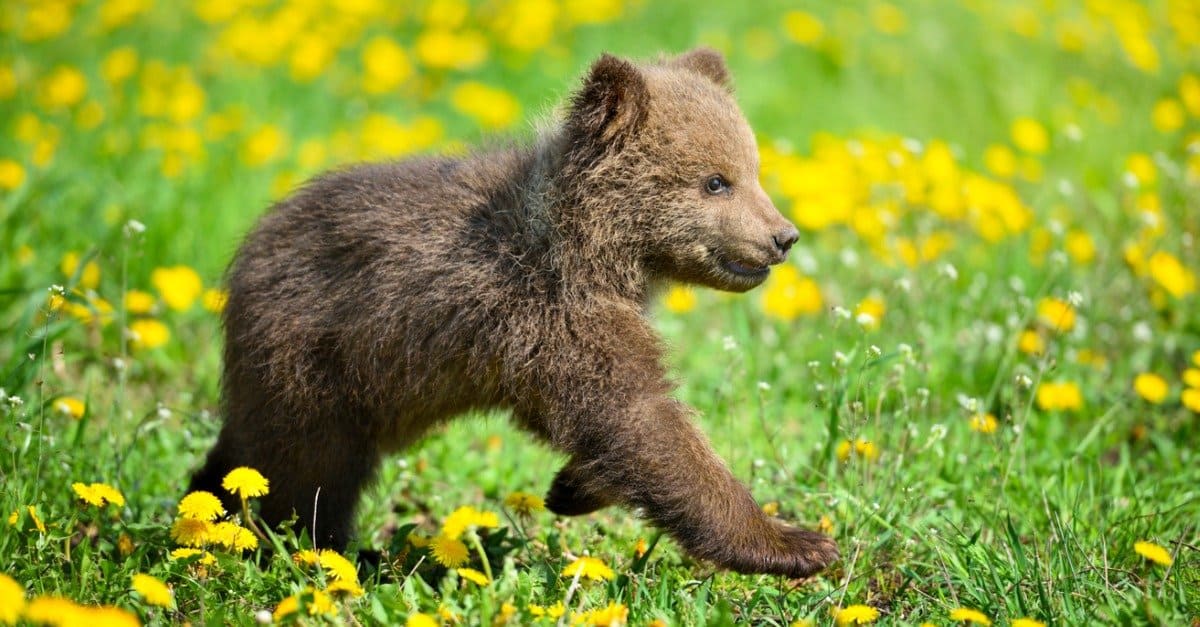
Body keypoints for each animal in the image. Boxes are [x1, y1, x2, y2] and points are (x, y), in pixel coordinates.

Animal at [188, 47, 839, 579]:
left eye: (752, 169)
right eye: (715, 181)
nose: (783, 236)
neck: (589, 248)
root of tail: (247, 253)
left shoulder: (536, 341)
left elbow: (611, 426)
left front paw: (570, 487)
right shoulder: (548, 314)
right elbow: (641, 421)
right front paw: (795, 542)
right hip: (314, 366)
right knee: (303, 471)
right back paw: (307, 547)